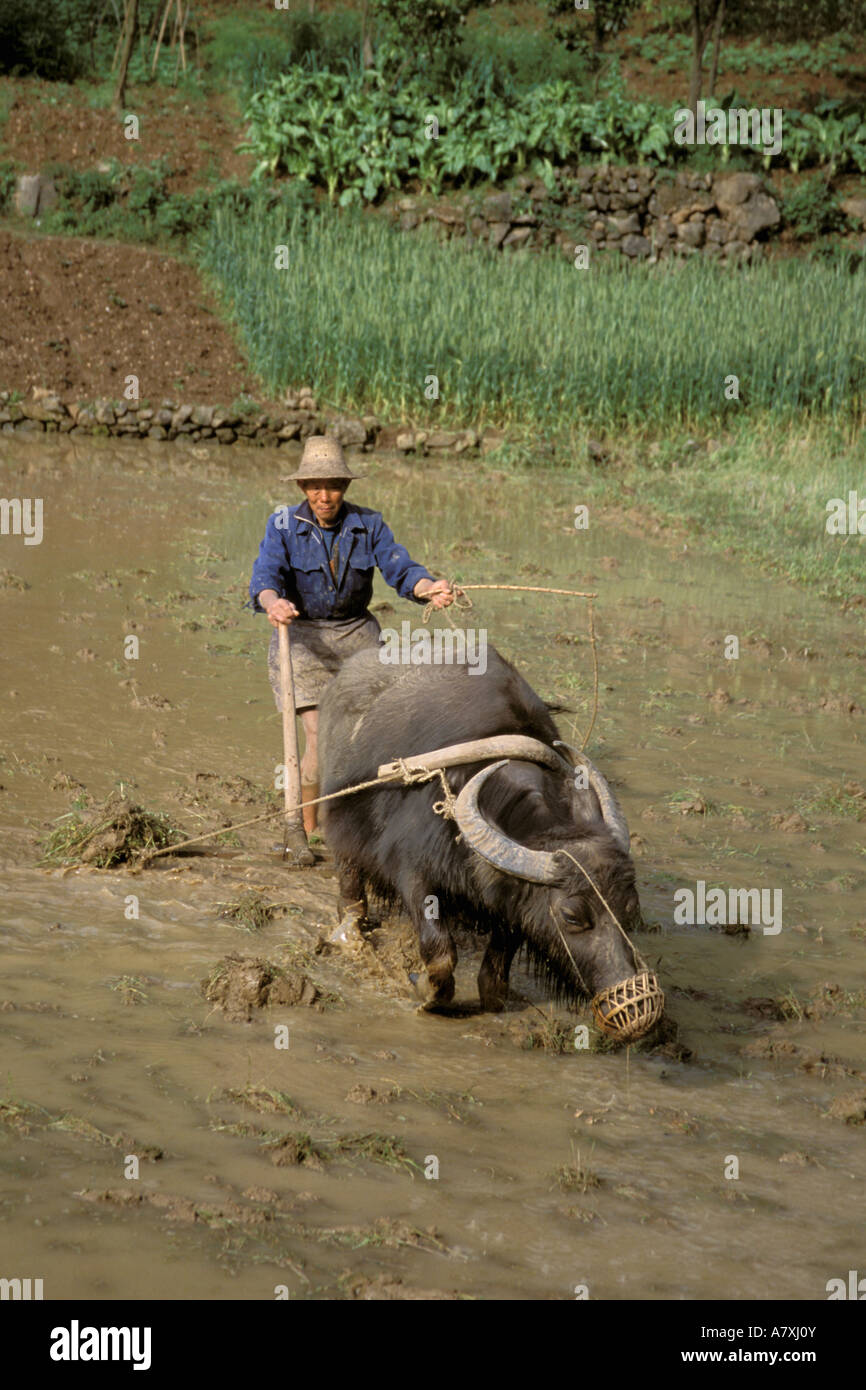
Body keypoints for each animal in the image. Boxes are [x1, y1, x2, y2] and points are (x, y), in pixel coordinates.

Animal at [319, 645, 661, 1036]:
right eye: (572, 916)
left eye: (630, 908)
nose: (638, 1007)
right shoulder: (414, 873)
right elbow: (439, 949)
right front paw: (427, 991)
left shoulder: (514, 900)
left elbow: (498, 967)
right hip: (339, 824)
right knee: (350, 881)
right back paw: (350, 931)